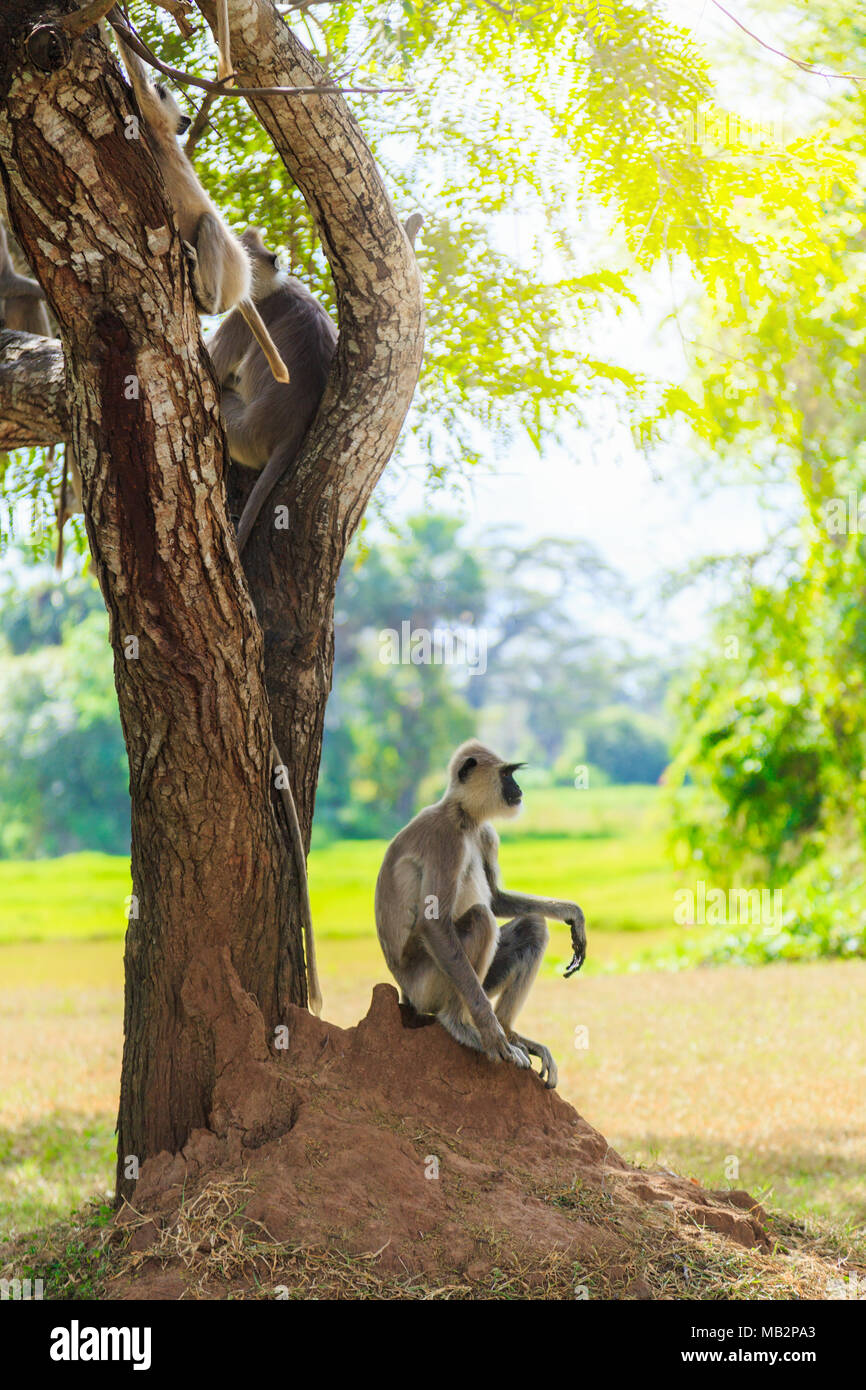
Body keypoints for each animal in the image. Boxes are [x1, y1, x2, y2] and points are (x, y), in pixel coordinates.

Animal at [113, 31, 290, 384]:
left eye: (162, 91)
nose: (161, 85)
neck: (166, 140)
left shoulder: (155, 123)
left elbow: (138, 81)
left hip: (230, 267)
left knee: (209, 223)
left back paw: (207, 299)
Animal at [375, 740, 587, 1088]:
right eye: (507, 775)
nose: (518, 789)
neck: (463, 817)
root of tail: (405, 993)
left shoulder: (486, 833)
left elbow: (497, 900)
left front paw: (573, 913)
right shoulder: (445, 840)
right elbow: (435, 923)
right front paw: (489, 1033)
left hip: (479, 984)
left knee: (532, 925)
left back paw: (510, 1032)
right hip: (427, 984)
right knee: (480, 920)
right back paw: (462, 1025)